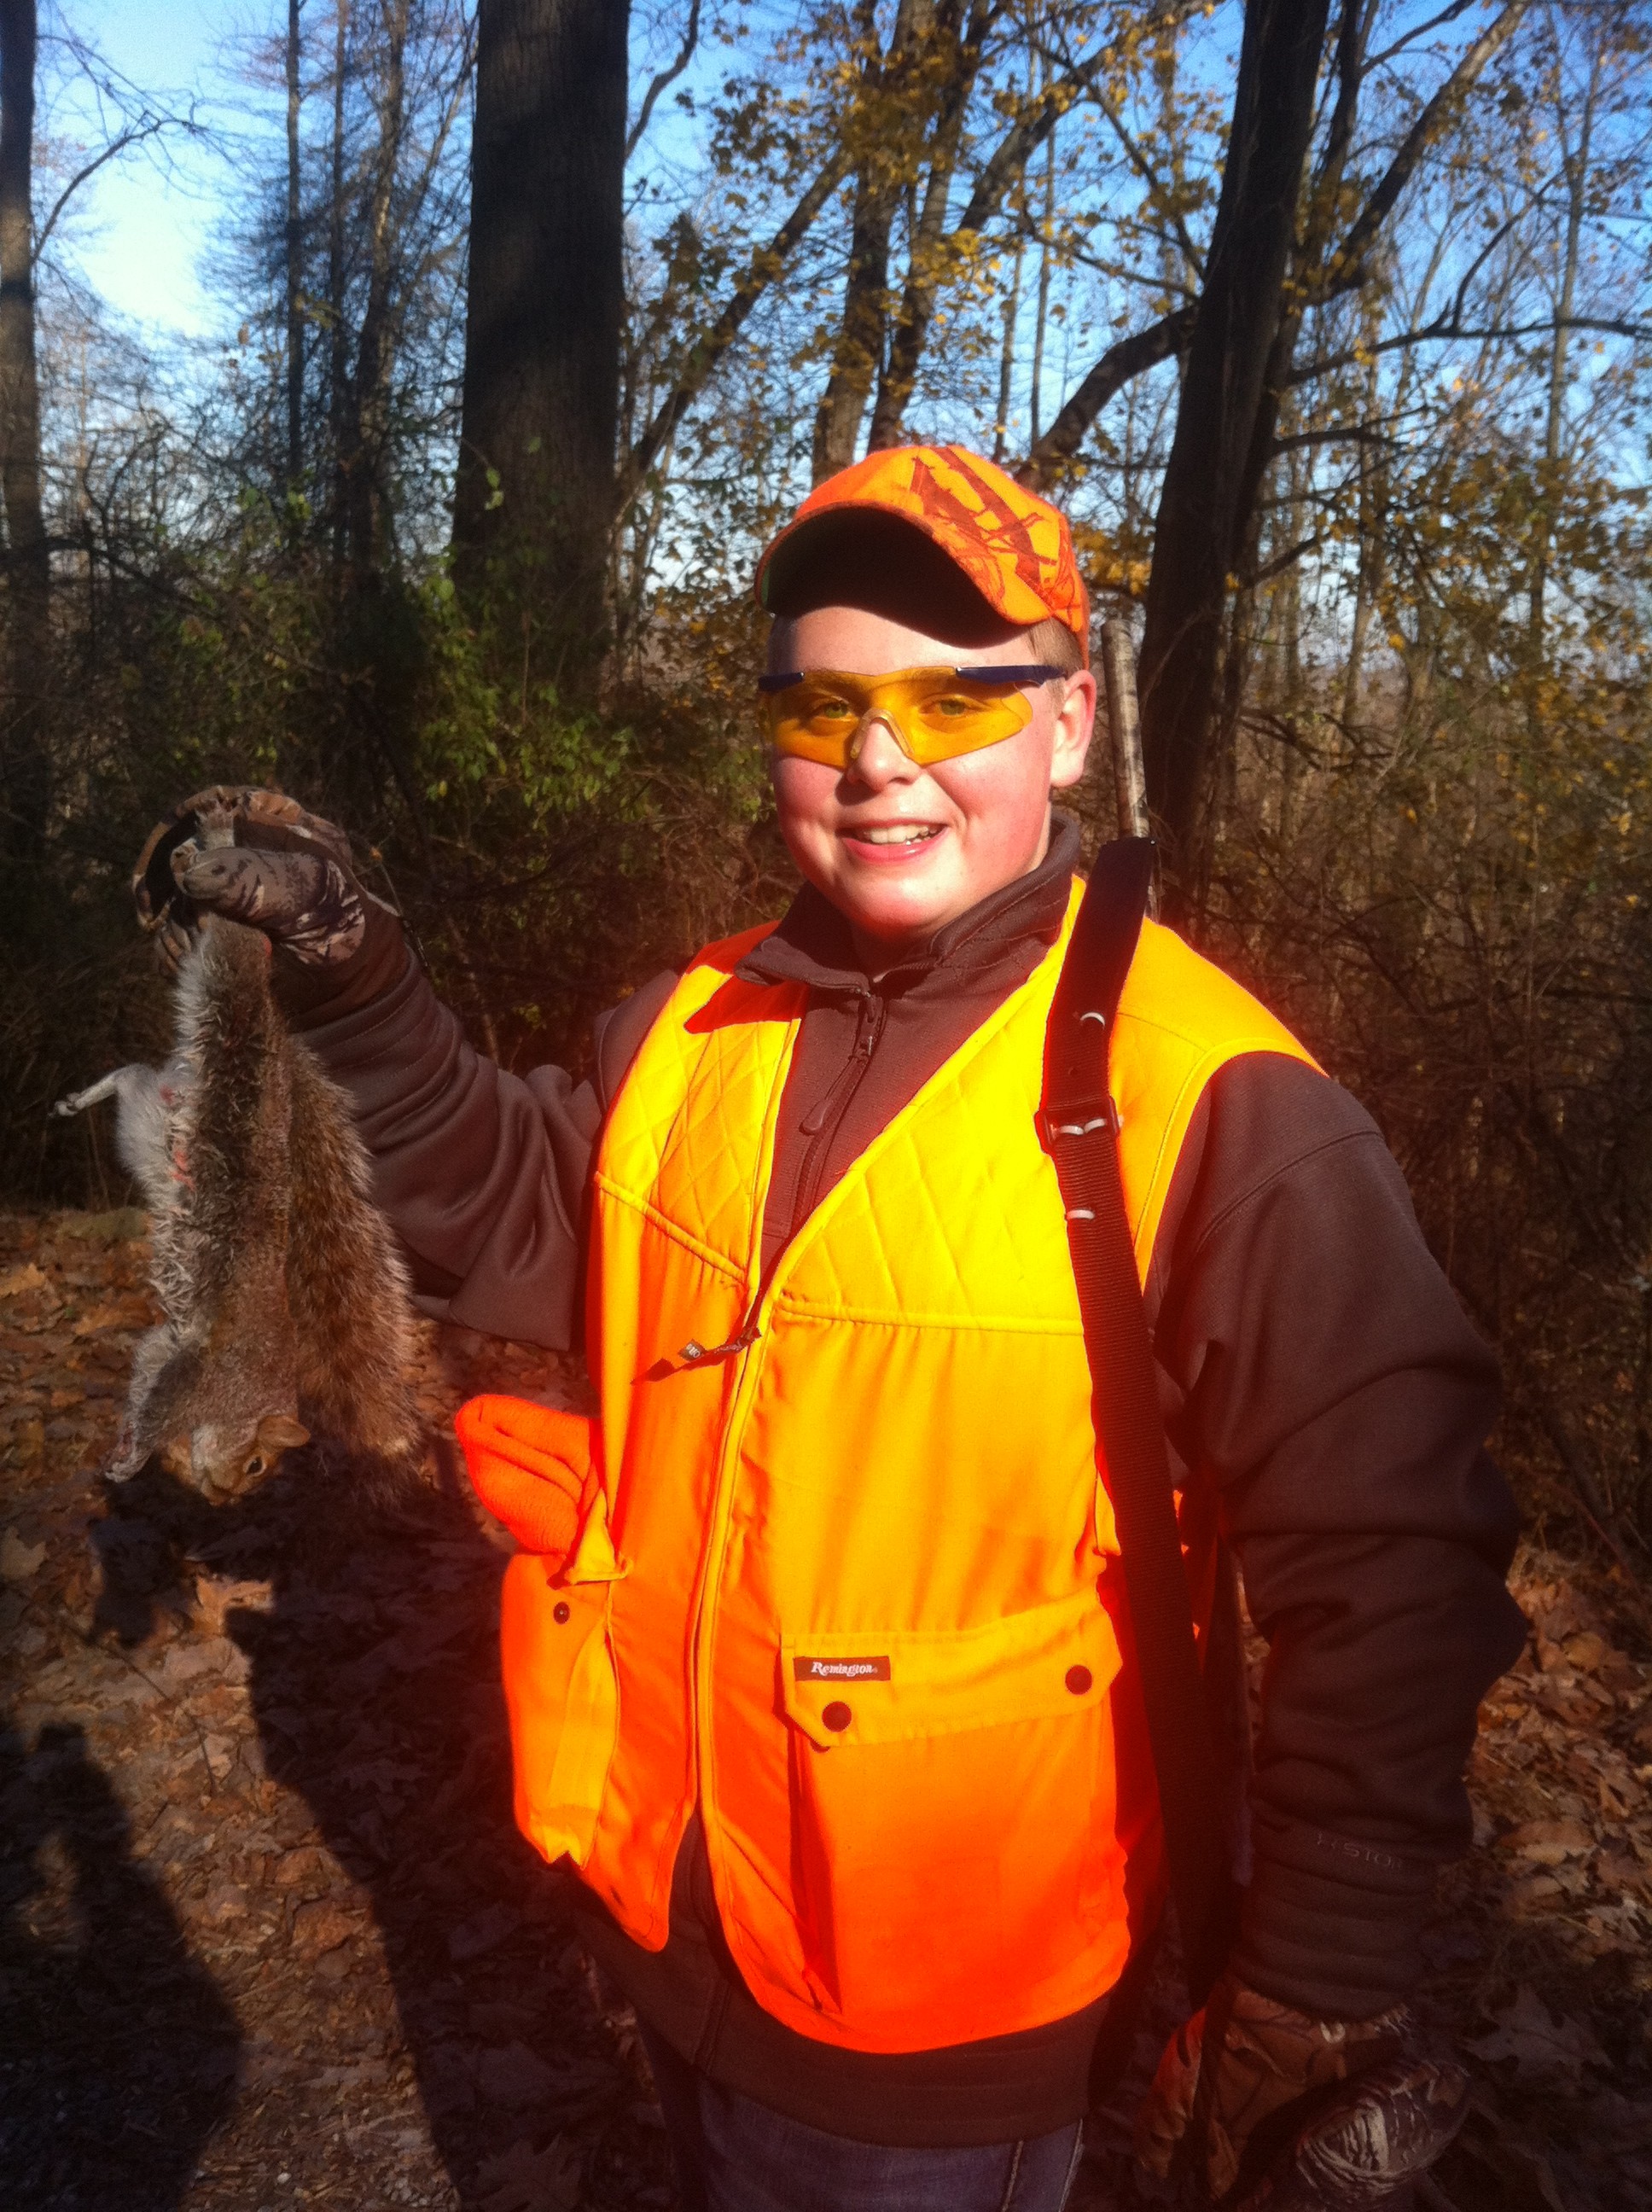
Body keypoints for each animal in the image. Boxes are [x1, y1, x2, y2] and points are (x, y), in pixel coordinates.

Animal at [54, 795, 421, 1499]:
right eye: (257, 1465)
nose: (223, 1496)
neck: (254, 1393)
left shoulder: (170, 1350)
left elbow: (146, 1374)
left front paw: (124, 1447)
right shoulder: (216, 1371)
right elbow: (163, 1404)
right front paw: (135, 1458)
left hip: (147, 1101)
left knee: (128, 1076)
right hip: (234, 972)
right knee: (234, 936)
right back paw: (218, 838)